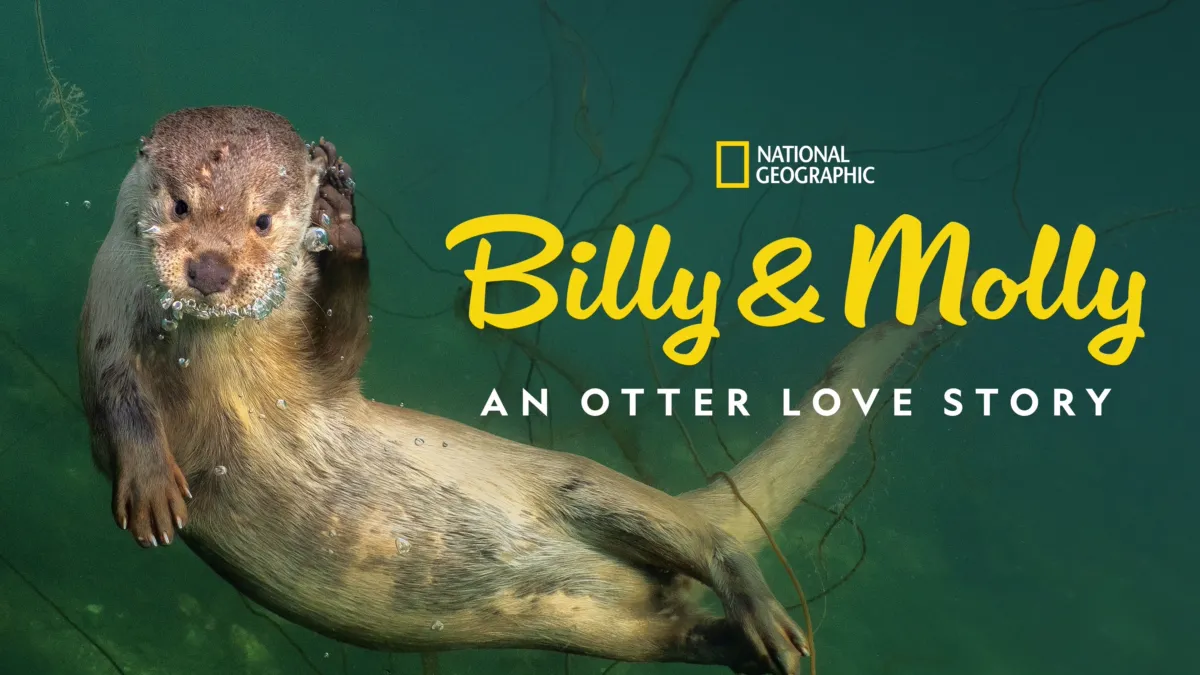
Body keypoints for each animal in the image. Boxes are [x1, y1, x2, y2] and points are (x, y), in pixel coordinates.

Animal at [77, 106, 944, 675]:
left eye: (265, 219)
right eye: (180, 203)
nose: (211, 267)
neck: (224, 368)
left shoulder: (319, 380)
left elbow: (344, 348)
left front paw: (344, 221)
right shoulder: (104, 326)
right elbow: (118, 403)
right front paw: (152, 487)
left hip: (584, 486)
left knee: (704, 539)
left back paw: (766, 620)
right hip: (605, 627)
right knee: (668, 626)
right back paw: (740, 645)